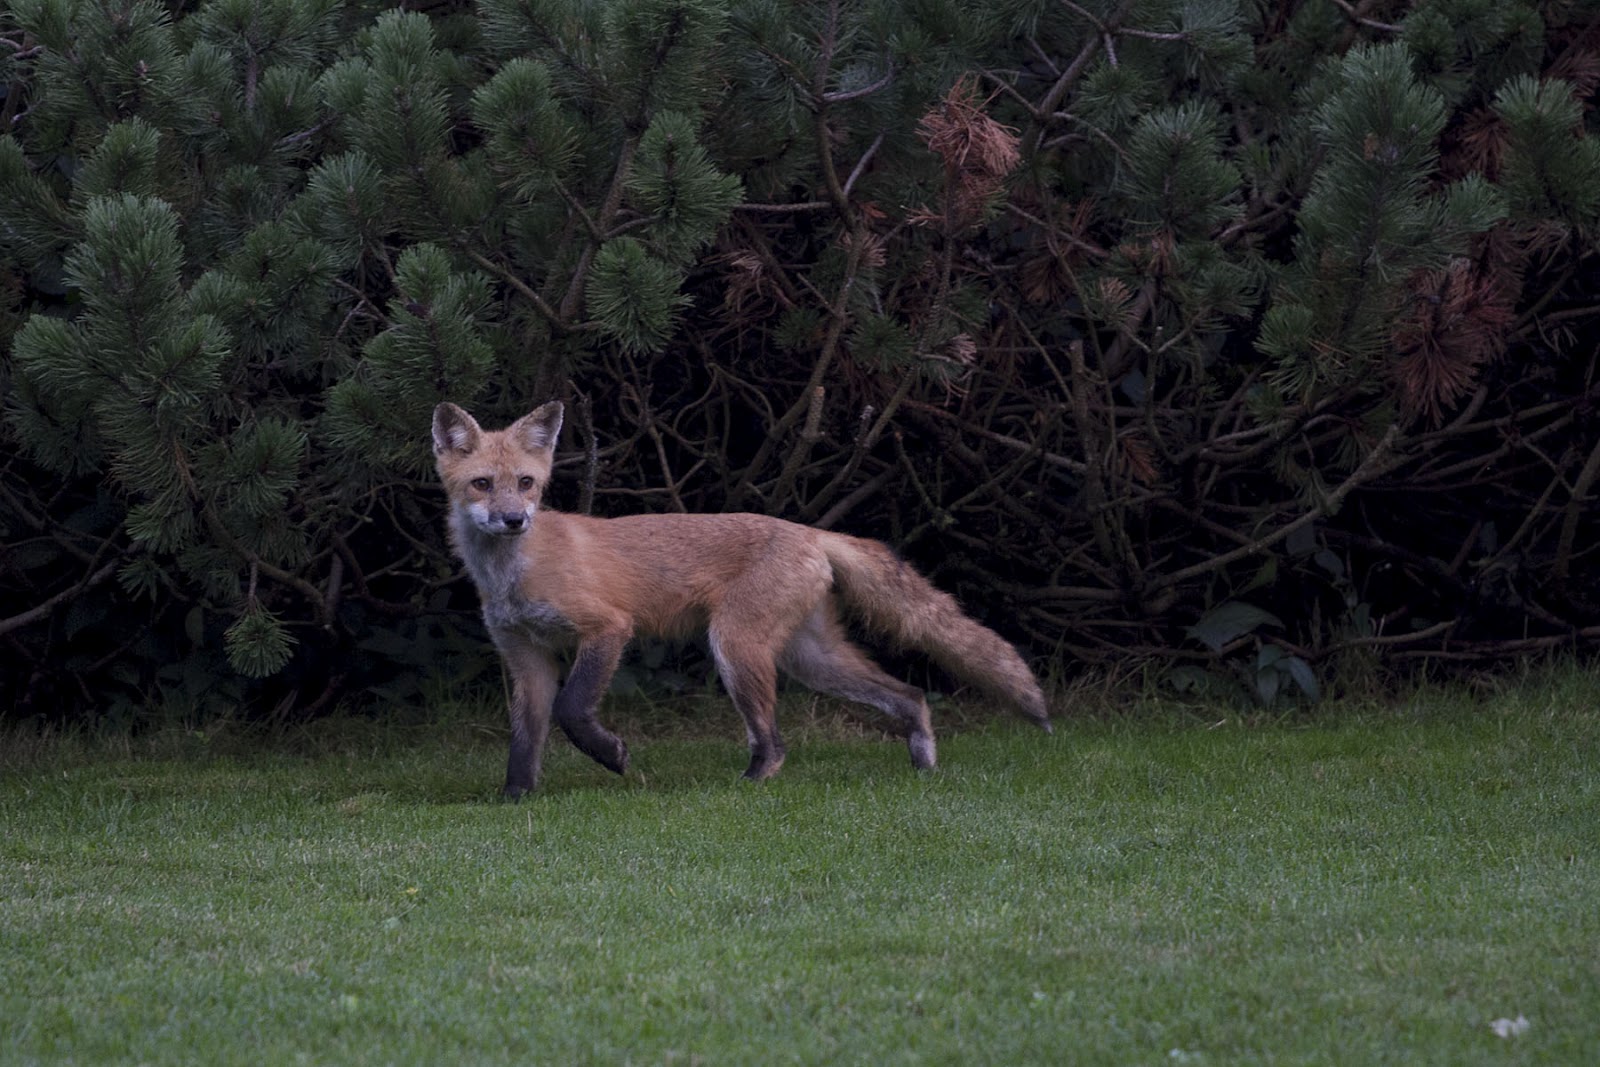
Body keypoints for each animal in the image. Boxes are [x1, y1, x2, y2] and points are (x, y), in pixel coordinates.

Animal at [431, 400, 1051, 797]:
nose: (514, 519)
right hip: (812, 659)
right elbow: (525, 740)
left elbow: (572, 710)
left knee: (775, 744)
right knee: (911, 694)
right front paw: (514, 801)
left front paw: (611, 756)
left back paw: (748, 785)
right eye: (482, 484)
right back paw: (923, 763)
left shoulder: (607, 627)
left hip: (734, 645)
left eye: (527, 483)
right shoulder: (524, 656)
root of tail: (809, 531)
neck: (513, 573)